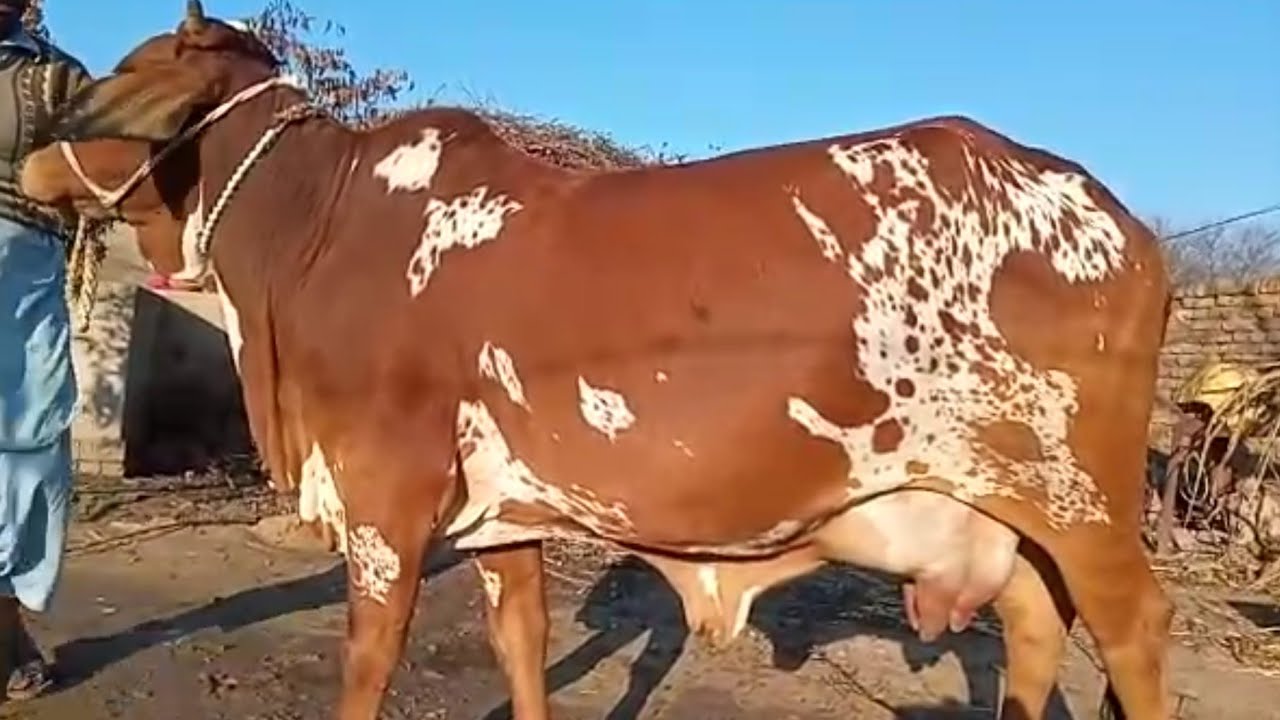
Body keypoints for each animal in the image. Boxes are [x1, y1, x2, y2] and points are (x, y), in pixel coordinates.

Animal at [22, 3, 1174, 718]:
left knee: (1133, 639)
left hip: (1082, 513)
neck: (317, 224)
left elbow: (367, 663)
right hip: (1011, 528)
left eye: (125, 69)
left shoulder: (387, 508)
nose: (28, 150)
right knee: (1033, 639)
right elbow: (523, 648)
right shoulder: (503, 518)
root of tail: (1122, 221)